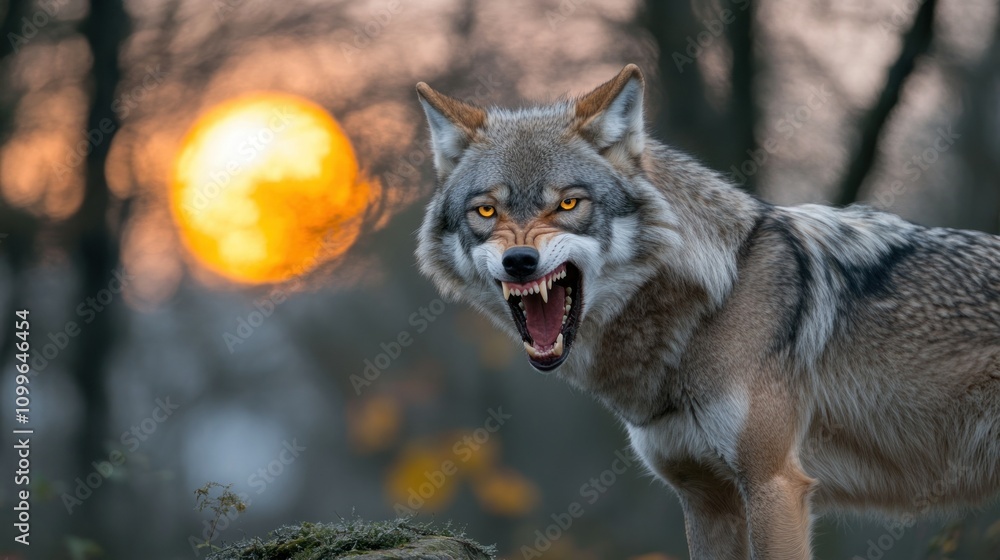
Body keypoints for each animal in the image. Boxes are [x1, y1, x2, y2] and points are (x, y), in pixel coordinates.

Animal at [414, 64, 1000, 559]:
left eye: (568, 204)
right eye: (486, 210)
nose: (520, 262)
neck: (715, 302)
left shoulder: (774, 485)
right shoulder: (704, 497)